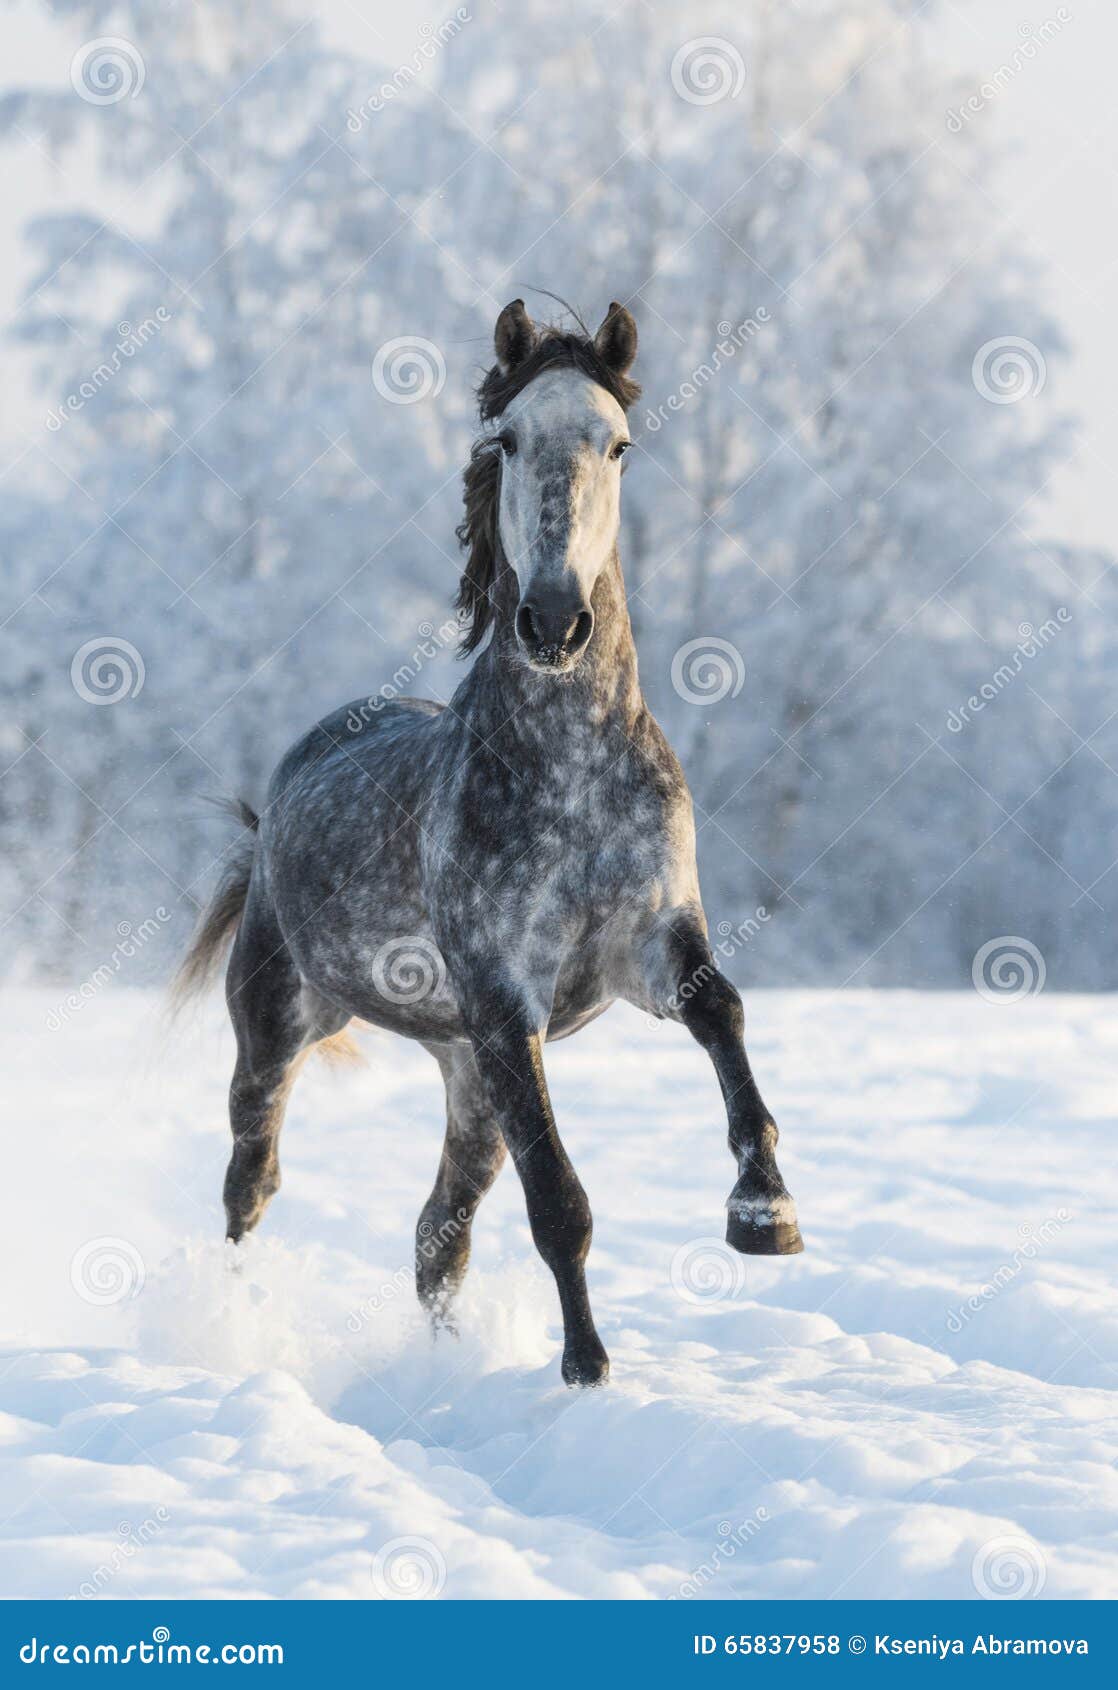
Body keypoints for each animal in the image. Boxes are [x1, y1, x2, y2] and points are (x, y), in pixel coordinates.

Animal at [176, 299, 802, 1387]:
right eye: (506, 440)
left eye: (618, 444)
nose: (553, 619)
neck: (572, 771)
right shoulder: (507, 998)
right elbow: (559, 1202)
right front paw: (587, 1367)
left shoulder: (645, 946)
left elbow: (720, 1008)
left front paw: (764, 1208)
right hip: (281, 1031)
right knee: (250, 1186)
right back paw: (238, 1329)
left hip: (466, 1078)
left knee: (440, 1234)